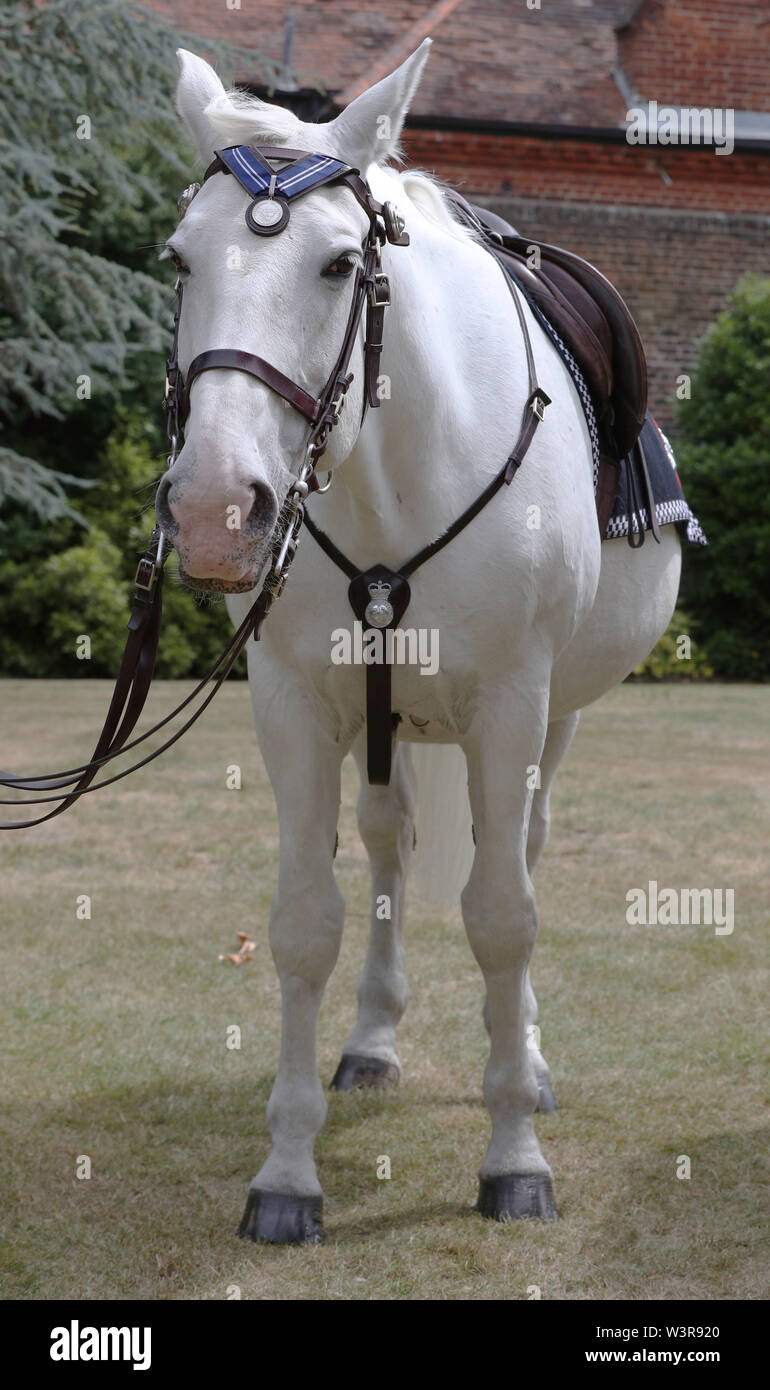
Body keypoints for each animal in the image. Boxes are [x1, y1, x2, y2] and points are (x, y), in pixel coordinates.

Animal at [162, 41, 681, 1244]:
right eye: (179, 258)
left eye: (339, 264)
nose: (214, 513)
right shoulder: (294, 700)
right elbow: (306, 922)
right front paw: (287, 1174)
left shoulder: (511, 701)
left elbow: (502, 917)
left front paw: (514, 1156)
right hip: (384, 718)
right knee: (389, 843)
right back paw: (371, 1041)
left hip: (554, 716)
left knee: (521, 851)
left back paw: (526, 1061)